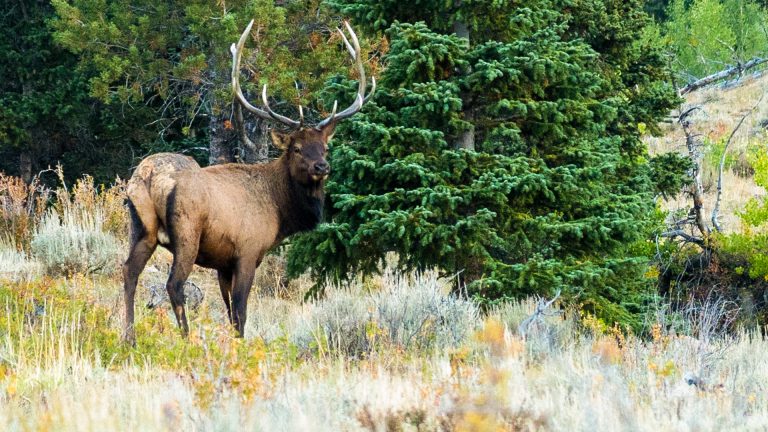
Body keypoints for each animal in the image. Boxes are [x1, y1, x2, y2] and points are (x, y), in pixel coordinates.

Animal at [121, 20, 375, 344]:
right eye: (296, 148)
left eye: (325, 147)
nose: (322, 166)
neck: (279, 211)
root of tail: (149, 176)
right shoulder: (247, 251)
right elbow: (241, 311)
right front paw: (240, 346)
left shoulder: (222, 263)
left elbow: (230, 311)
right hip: (187, 231)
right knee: (174, 284)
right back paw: (187, 339)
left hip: (141, 227)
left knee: (129, 271)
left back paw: (129, 337)